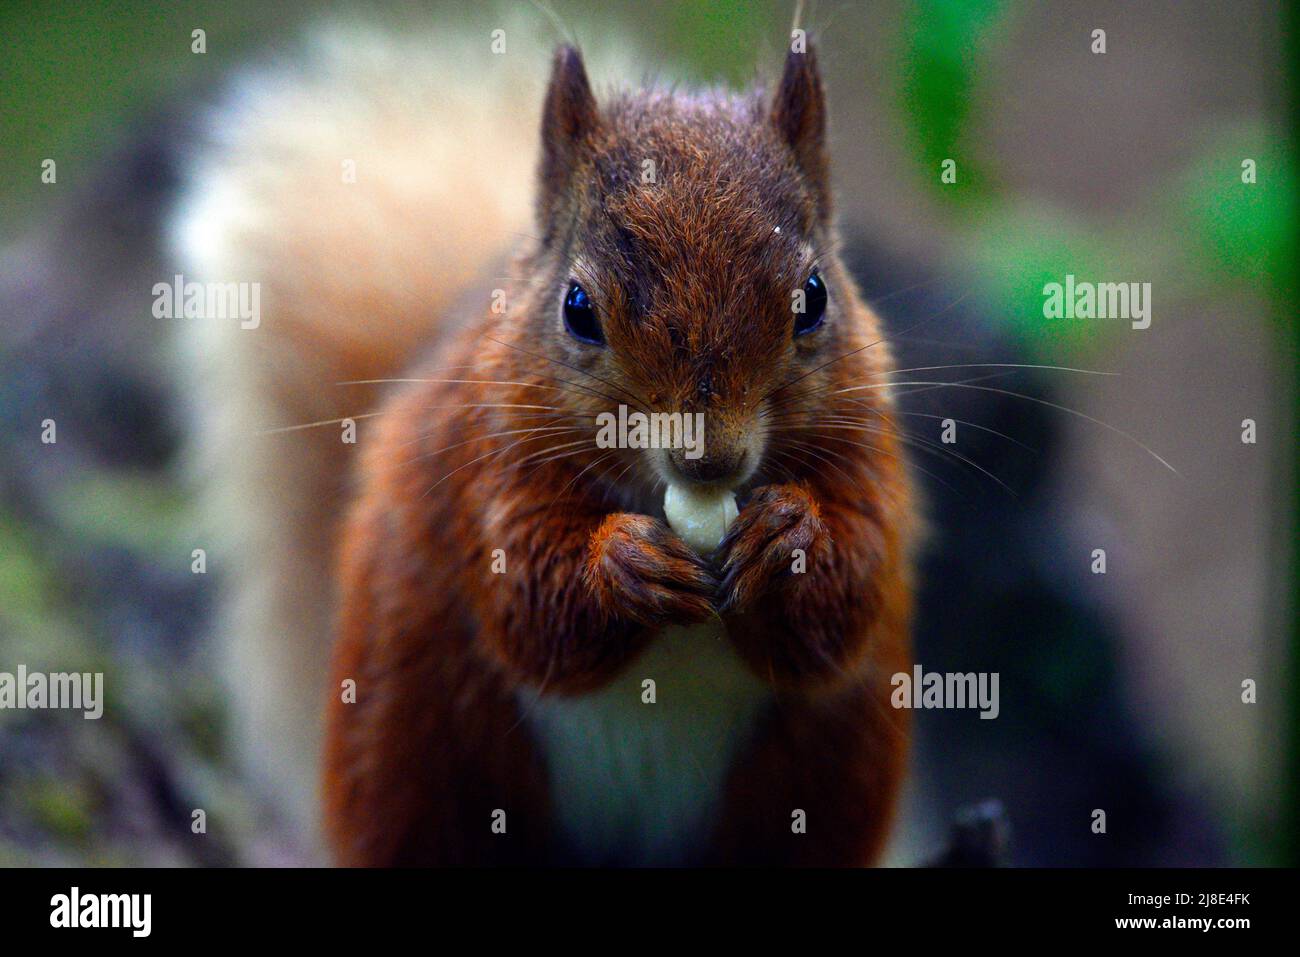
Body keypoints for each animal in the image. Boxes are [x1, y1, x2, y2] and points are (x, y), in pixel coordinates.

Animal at [177, 26, 915, 866]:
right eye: (578, 308)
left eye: (815, 297)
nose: (710, 460)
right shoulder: (483, 457)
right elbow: (528, 601)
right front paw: (623, 563)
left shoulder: (869, 454)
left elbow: (847, 593)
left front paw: (787, 535)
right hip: (420, 749)